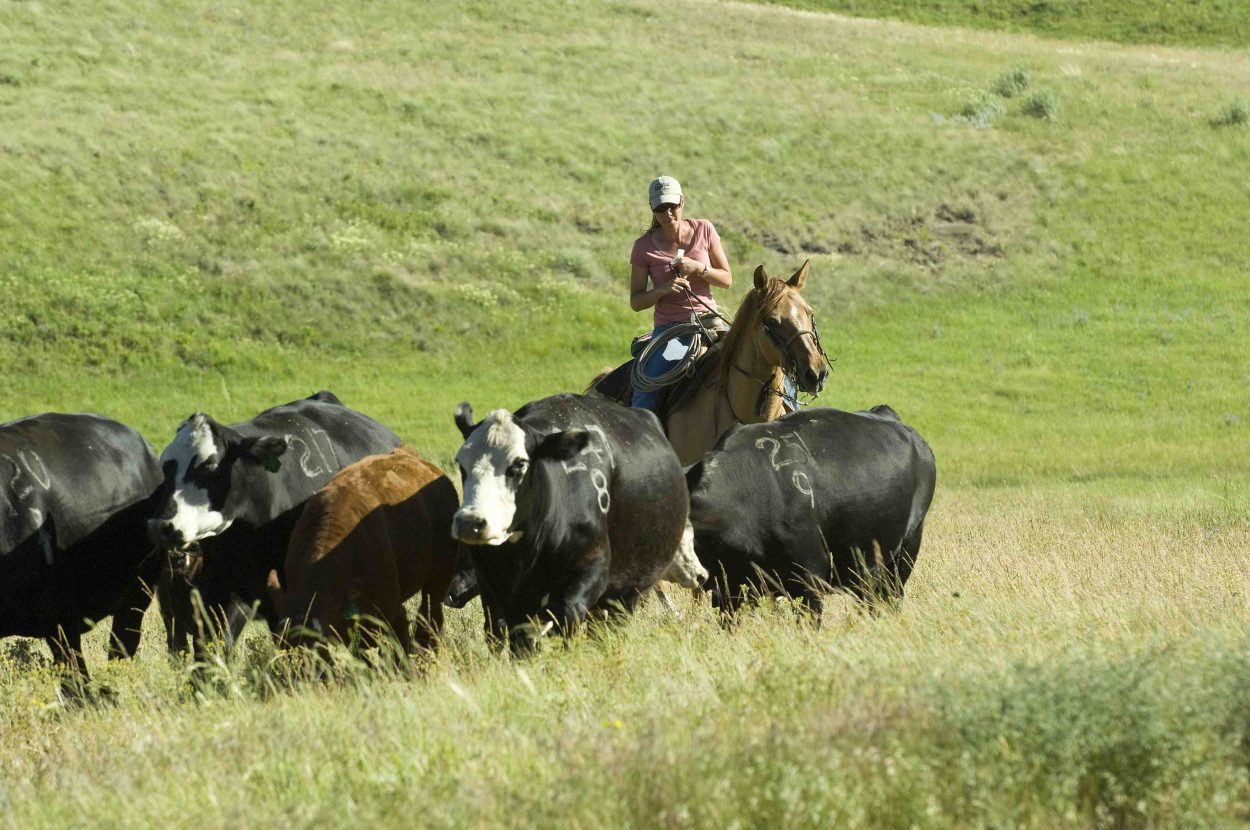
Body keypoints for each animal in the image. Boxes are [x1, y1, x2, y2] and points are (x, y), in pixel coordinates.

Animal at [452, 393, 688, 653]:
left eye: (519, 464)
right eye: (461, 464)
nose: (470, 522)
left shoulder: (592, 568)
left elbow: (564, 617)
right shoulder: (494, 587)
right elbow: (509, 634)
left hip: (627, 591)